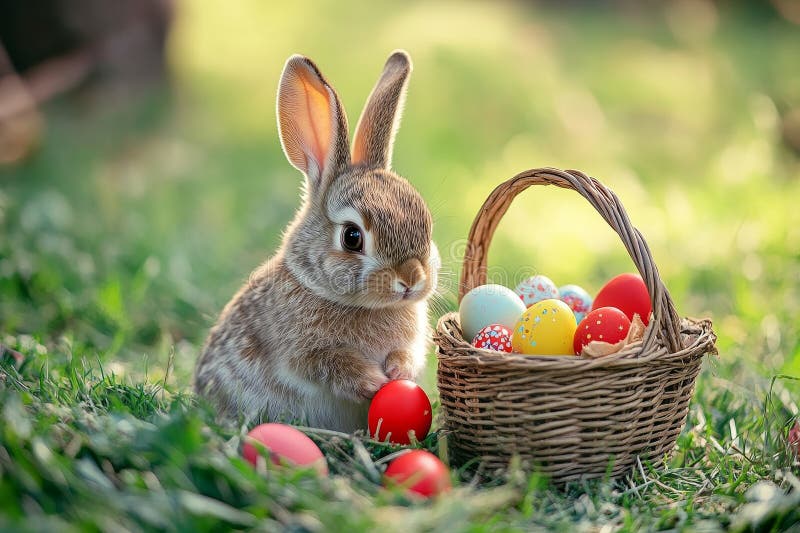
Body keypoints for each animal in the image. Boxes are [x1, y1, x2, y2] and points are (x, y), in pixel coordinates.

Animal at [193, 50, 440, 433]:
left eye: (427, 225)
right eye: (352, 237)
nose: (411, 280)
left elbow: (408, 355)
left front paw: (397, 372)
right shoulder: (302, 353)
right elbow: (328, 364)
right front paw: (373, 382)